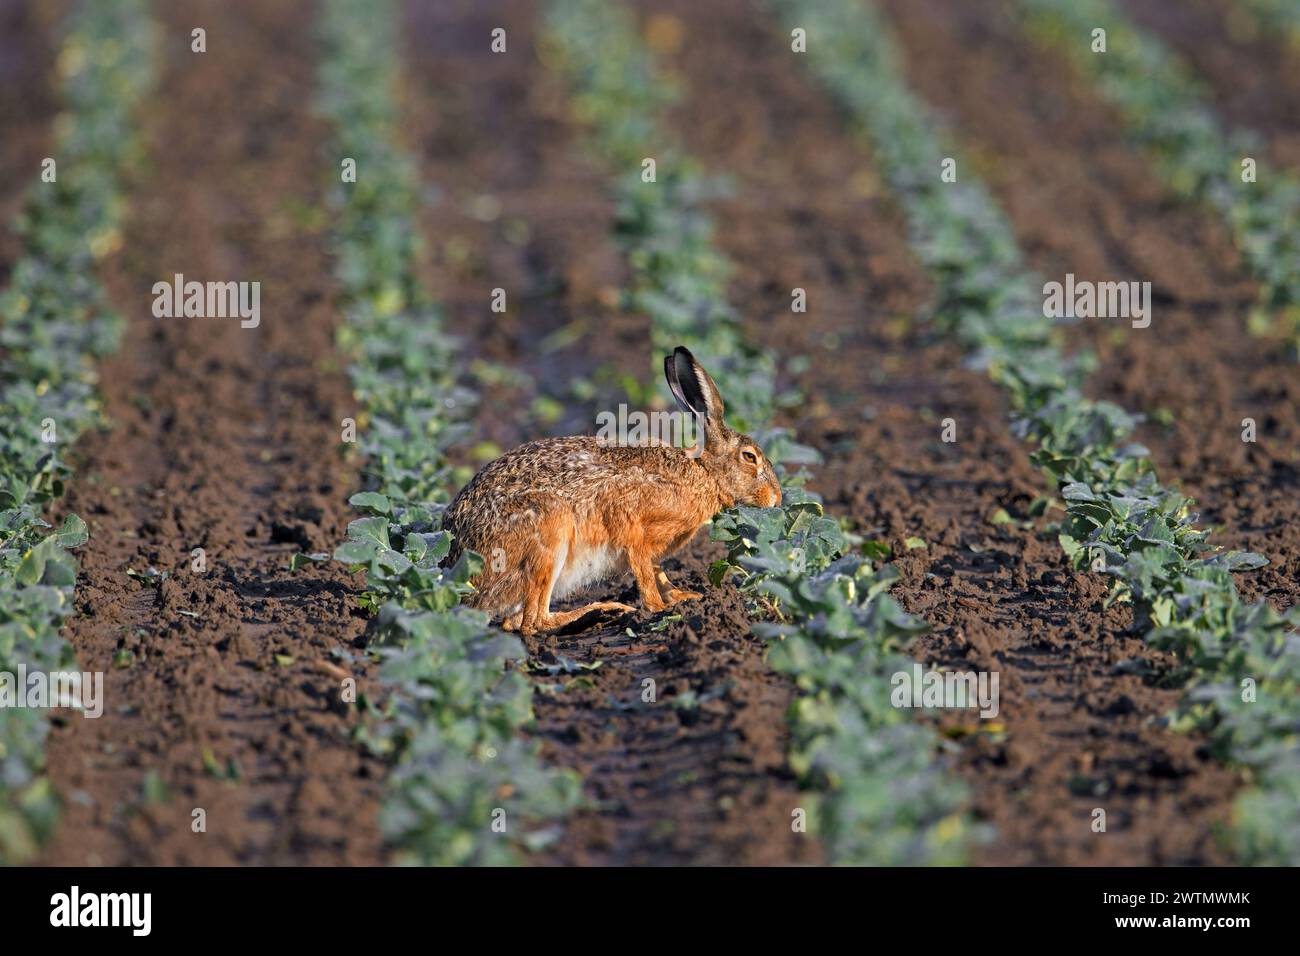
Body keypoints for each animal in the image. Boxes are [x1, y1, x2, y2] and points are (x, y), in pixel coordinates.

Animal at [442, 346, 782, 635]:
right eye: (749, 457)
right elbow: (644, 572)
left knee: (516, 622)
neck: (704, 474)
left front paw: (685, 597)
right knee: (532, 622)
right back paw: (602, 611)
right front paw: (658, 609)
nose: (776, 499)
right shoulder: (631, 523)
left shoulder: (653, 549)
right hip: (549, 534)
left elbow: (658, 571)